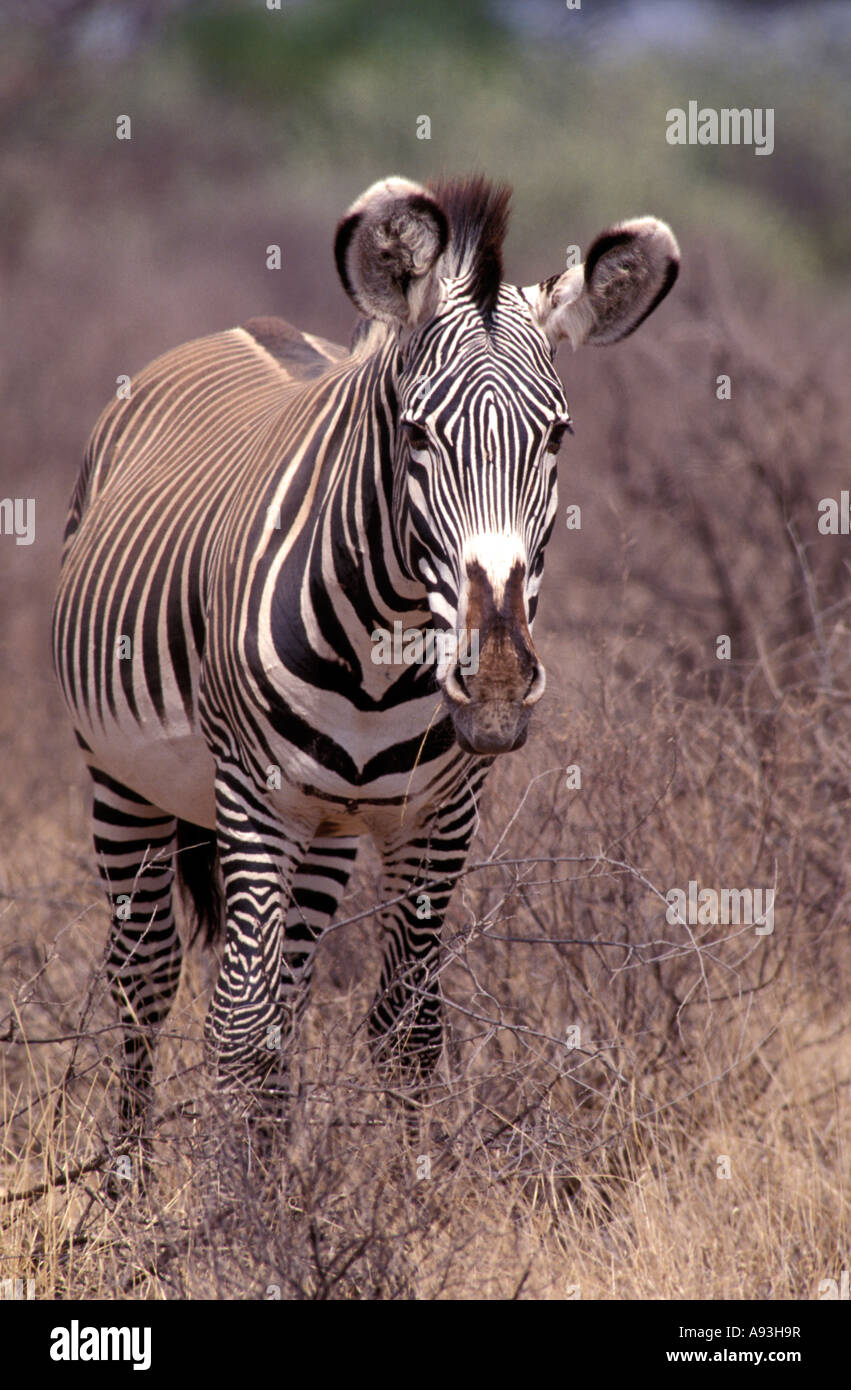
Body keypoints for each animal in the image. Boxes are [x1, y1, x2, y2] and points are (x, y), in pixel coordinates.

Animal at [52, 175, 678, 1140]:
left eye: (558, 437)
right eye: (415, 435)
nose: (496, 684)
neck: (383, 652)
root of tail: (242, 328)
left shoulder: (443, 813)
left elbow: (407, 1028)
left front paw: (409, 1178)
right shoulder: (255, 799)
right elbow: (237, 1033)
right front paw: (232, 1192)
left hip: (331, 829)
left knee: (290, 995)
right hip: (124, 780)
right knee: (144, 981)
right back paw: (127, 1170)